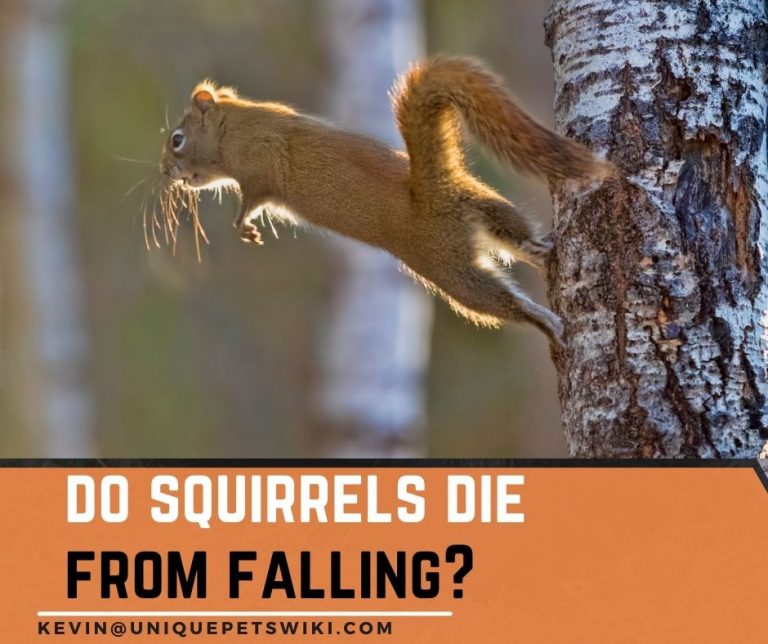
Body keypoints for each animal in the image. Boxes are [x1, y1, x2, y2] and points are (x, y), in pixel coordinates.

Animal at [159, 55, 611, 347]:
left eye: (176, 140)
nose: (165, 172)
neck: (233, 125)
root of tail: (430, 194)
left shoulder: (260, 163)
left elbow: (253, 197)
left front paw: (243, 225)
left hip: (451, 271)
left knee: (500, 300)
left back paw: (547, 322)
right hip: (482, 203)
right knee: (515, 235)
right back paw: (540, 252)